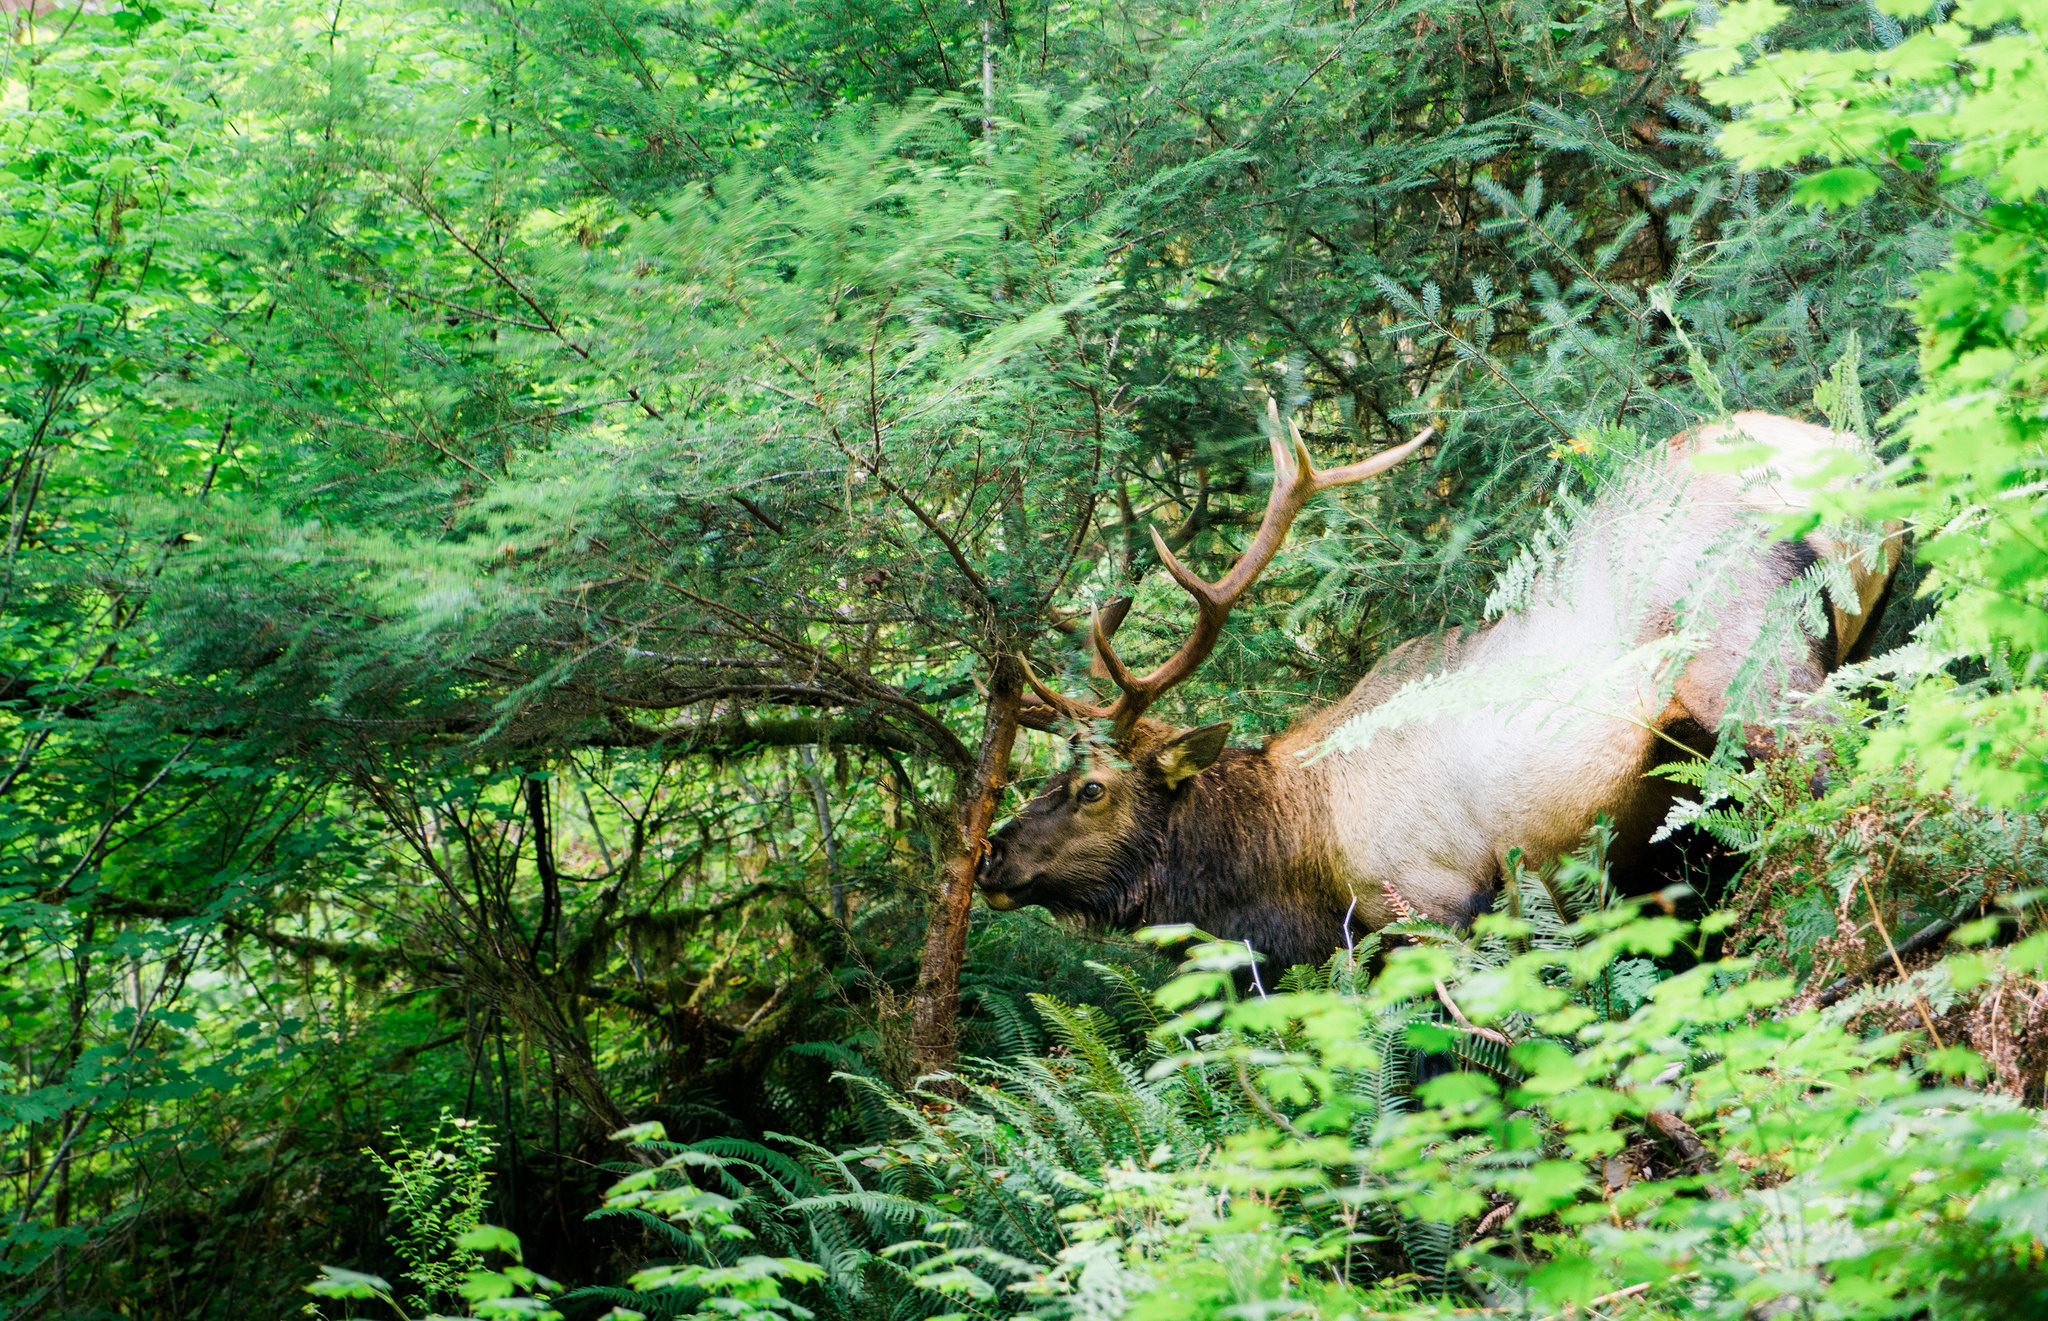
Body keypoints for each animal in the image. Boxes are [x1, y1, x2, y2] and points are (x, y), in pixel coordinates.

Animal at [977, 410, 1903, 971]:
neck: (1301, 858)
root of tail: (1851, 463)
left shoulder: (1436, 902)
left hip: (1761, 672)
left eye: (1091, 788)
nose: (990, 855)